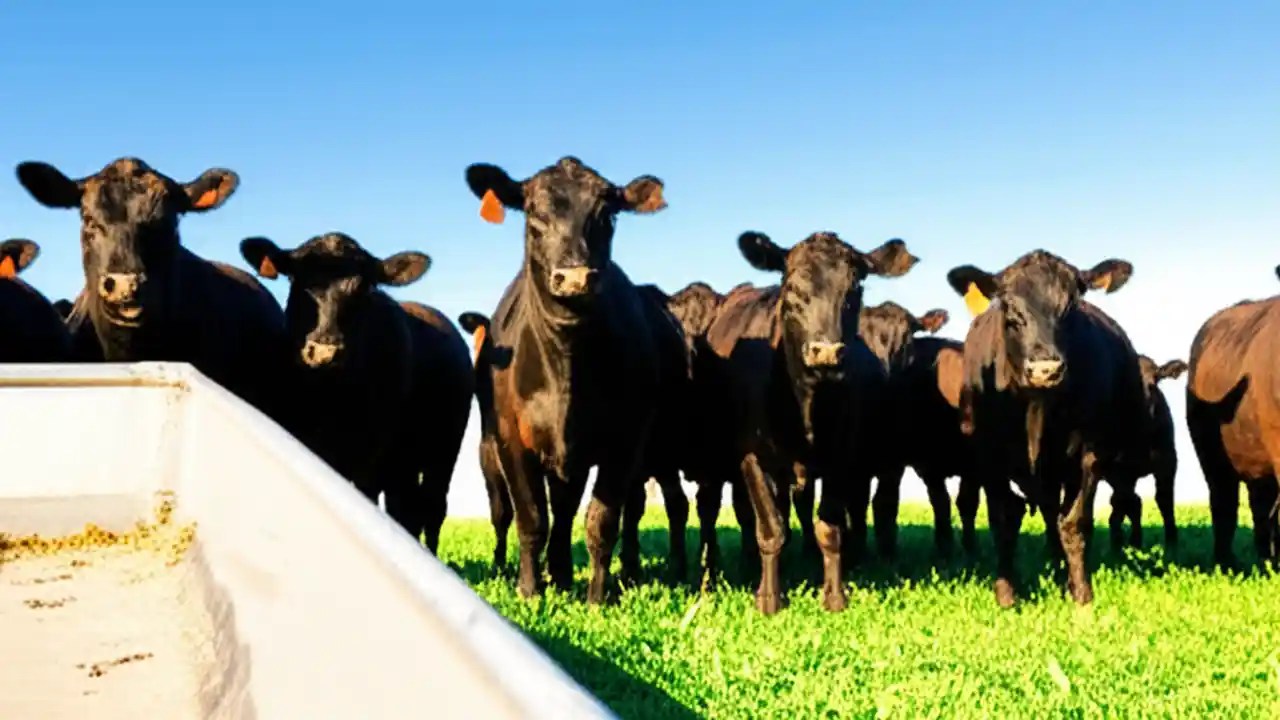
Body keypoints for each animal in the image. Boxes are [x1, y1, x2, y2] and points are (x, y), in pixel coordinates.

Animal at [240, 233, 473, 552]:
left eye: (363, 287)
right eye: (295, 279)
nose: (324, 351)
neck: (331, 397)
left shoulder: (370, 453)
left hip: (445, 447)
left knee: (432, 508)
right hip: (404, 461)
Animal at [463, 155, 667, 604]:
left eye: (608, 214)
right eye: (532, 212)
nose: (574, 277)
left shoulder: (626, 440)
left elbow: (600, 520)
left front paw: (597, 598)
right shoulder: (510, 438)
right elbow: (530, 517)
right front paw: (528, 591)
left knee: (567, 509)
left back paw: (561, 573)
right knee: (514, 513)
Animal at [703, 230, 918, 614]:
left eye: (855, 288)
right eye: (791, 285)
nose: (826, 351)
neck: (806, 408)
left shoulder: (841, 458)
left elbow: (829, 528)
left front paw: (834, 595)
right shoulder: (751, 457)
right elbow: (770, 528)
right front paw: (769, 597)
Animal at [946, 250, 1144, 607]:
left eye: (1071, 306)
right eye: (1010, 308)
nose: (1045, 370)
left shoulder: (1090, 455)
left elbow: (1075, 522)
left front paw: (1081, 594)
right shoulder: (989, 456)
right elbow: (1003, 520)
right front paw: (1006, 593)